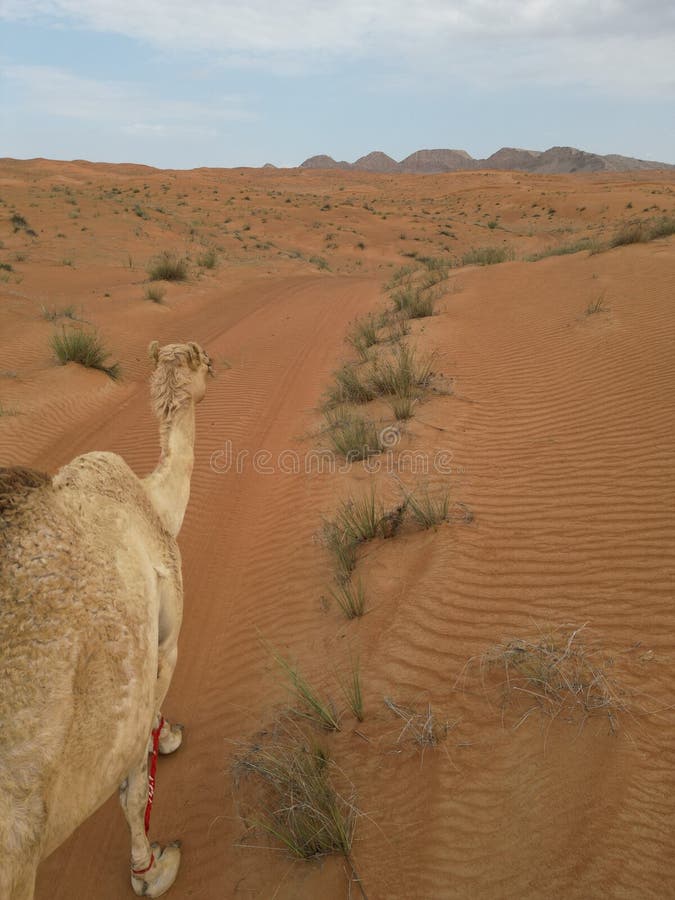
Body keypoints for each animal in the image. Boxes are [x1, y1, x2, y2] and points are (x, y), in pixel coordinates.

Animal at [0, 340, 213, 900]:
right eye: (203, 361)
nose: (218, 365)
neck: (155, 502)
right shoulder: (167, 637)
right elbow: (135, 790)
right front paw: (150, 869)